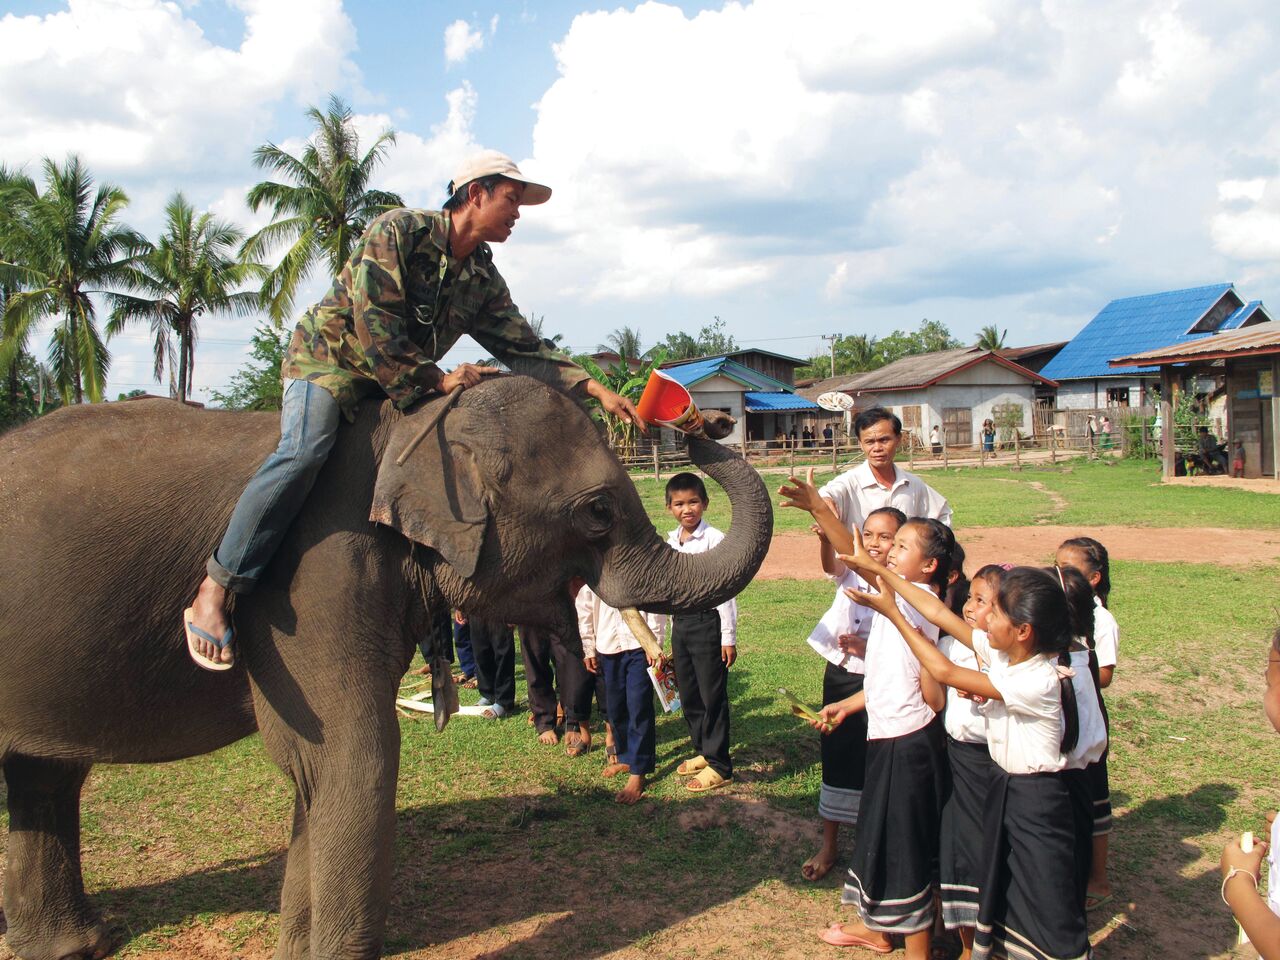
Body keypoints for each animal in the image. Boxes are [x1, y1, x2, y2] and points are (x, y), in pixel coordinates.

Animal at [0, 374, 772, 959]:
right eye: (599, 511)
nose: (704, 418)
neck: (408, 431)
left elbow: (320, 775)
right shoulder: (307, 579)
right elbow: (351, 756)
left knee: (44, 776)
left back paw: (72, 947)